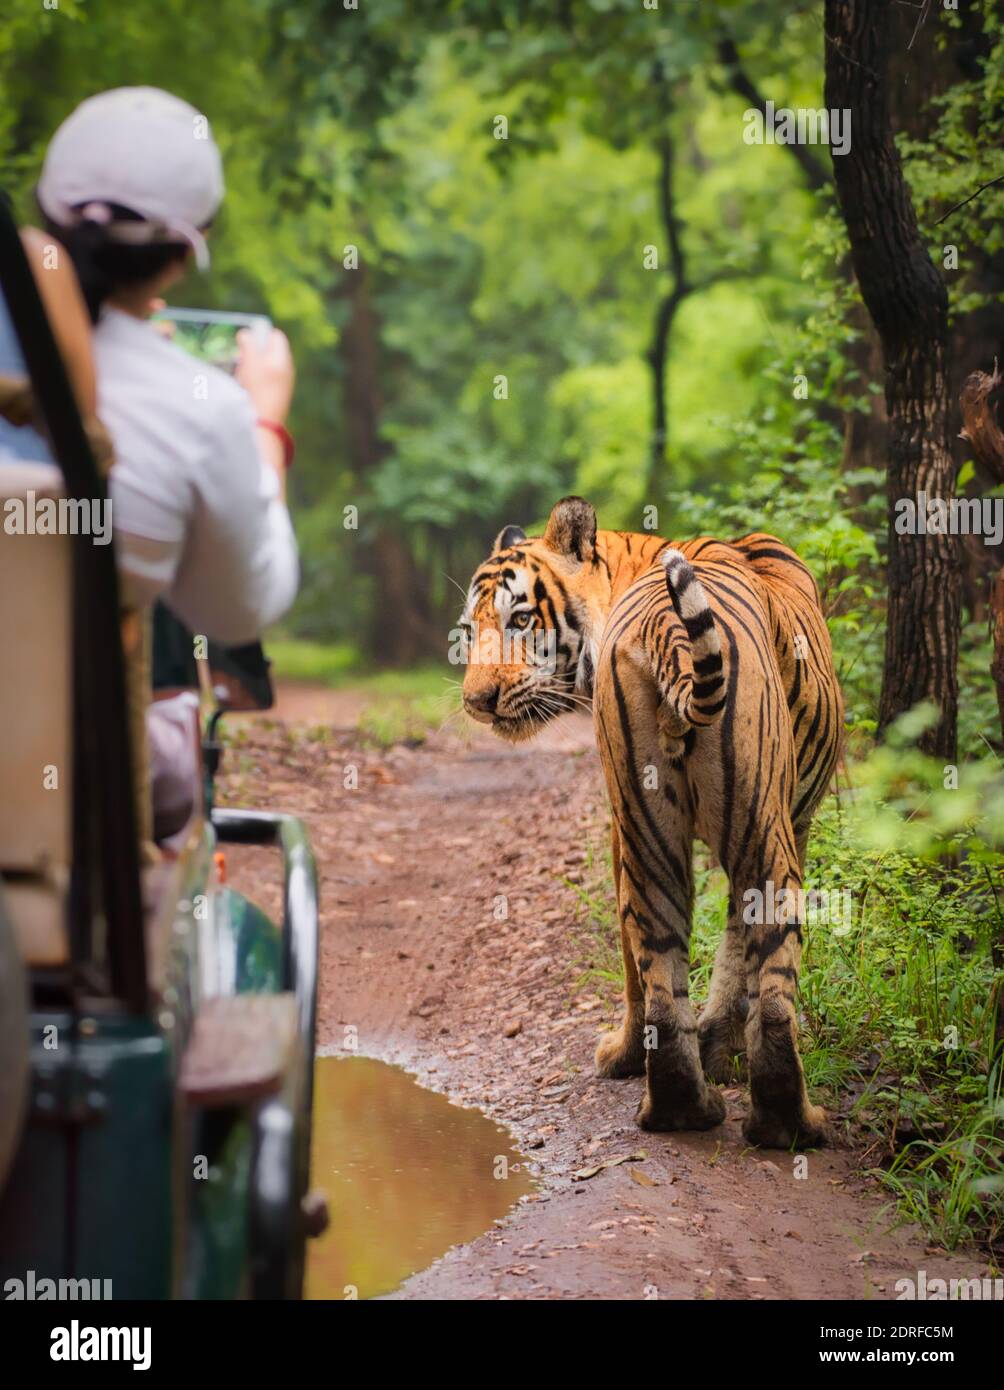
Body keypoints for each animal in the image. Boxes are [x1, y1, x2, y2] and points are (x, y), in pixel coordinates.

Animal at [459, 496, 843, 1149]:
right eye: (470, 631)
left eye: (519, 621)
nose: (476, 701)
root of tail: (667, 622)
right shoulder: (795, 817)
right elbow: (737, 948)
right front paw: (722, 1045)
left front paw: (685, 1049)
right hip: (760, 835)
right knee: (769, 984)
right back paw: (786, 1123)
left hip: (650, 831)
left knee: (658, 956)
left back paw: (679, 1106)